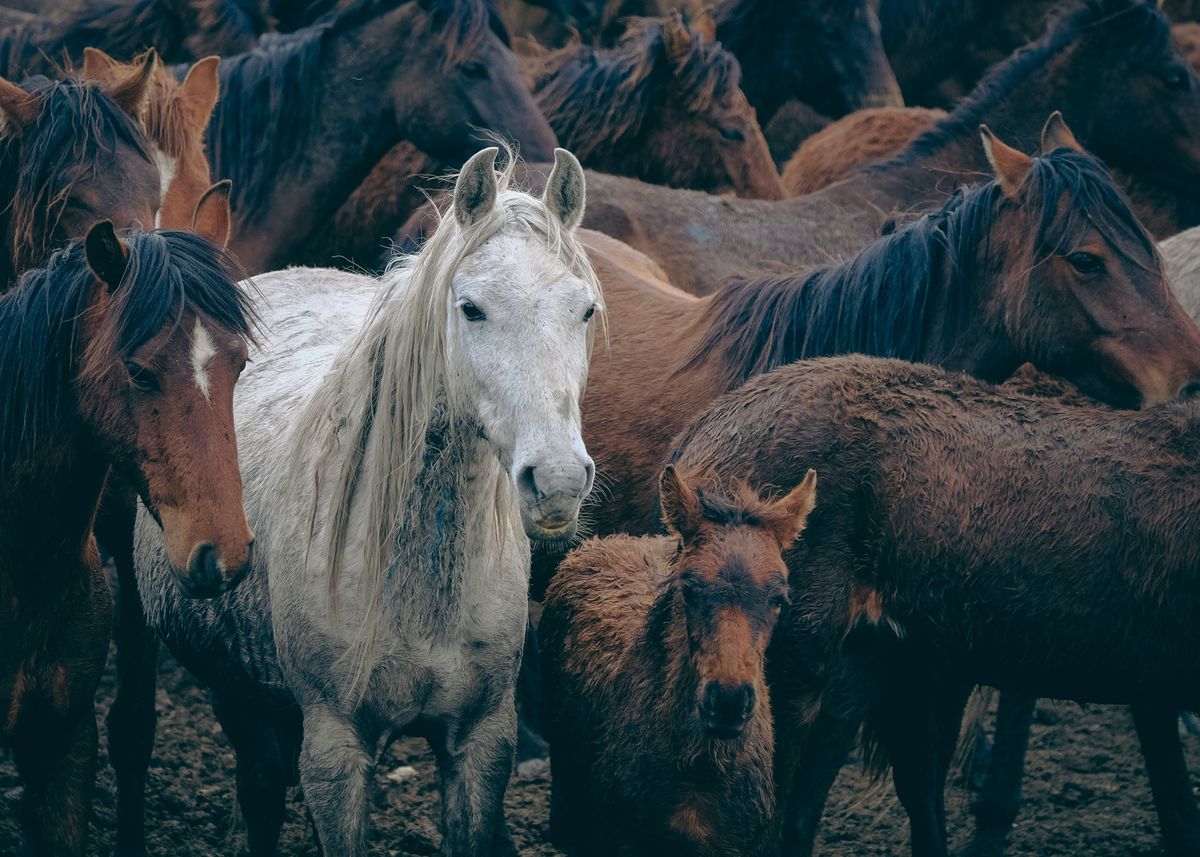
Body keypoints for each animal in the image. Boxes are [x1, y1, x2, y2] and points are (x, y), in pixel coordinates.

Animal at [131, 147, 600, 855]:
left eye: (586, 310)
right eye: (472, 309)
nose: (559, 480)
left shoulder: (481, 744)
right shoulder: (335, 750)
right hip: (237, 697)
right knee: (260, 786)